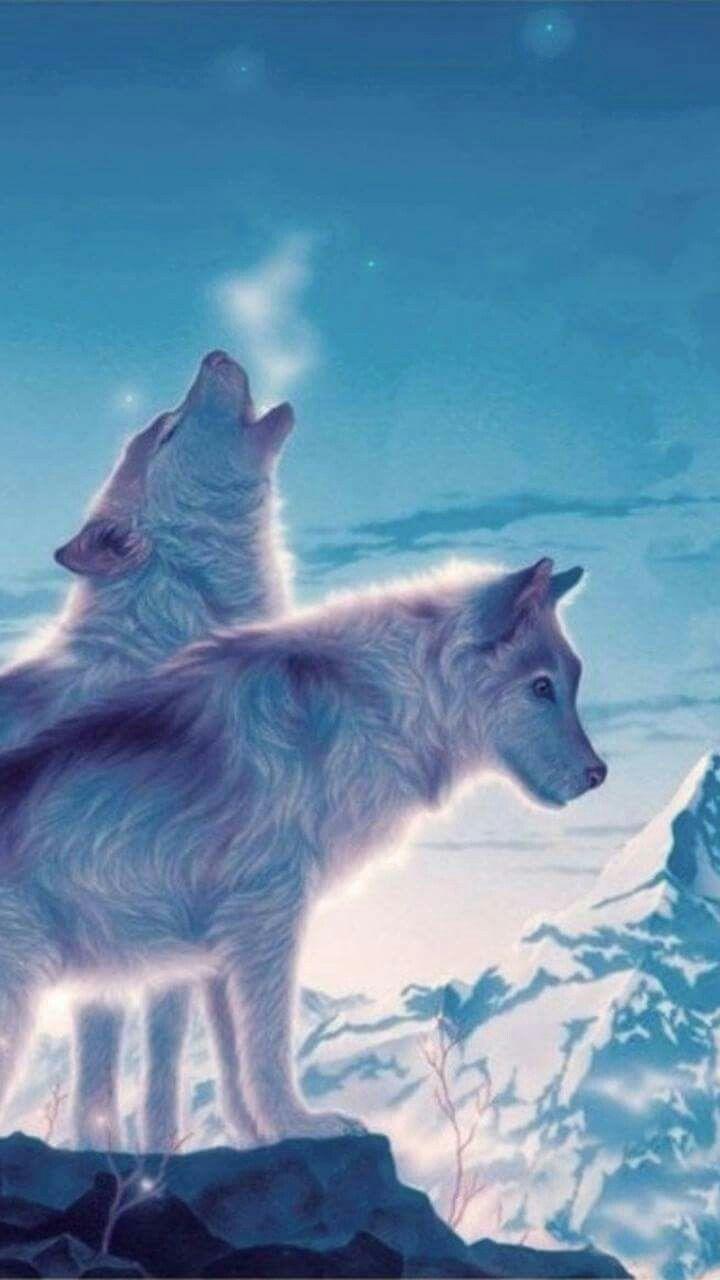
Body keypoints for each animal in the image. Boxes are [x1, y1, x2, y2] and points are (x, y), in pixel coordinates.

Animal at [0, 350, 294, 1149]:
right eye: (167, 432)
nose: (214, 355)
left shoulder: (189, 936)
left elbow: (193, 1058)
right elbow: (115, 1066)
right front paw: (111, 1151)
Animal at [0, 554, 605, 1143]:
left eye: (574, 681)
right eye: (542, 688)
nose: (598, 774)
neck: (375, 702)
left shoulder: (224, 944)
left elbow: (235, 1063)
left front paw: (261, 1135)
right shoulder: (267, 916)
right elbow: (267, 1044)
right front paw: (300, 1124)